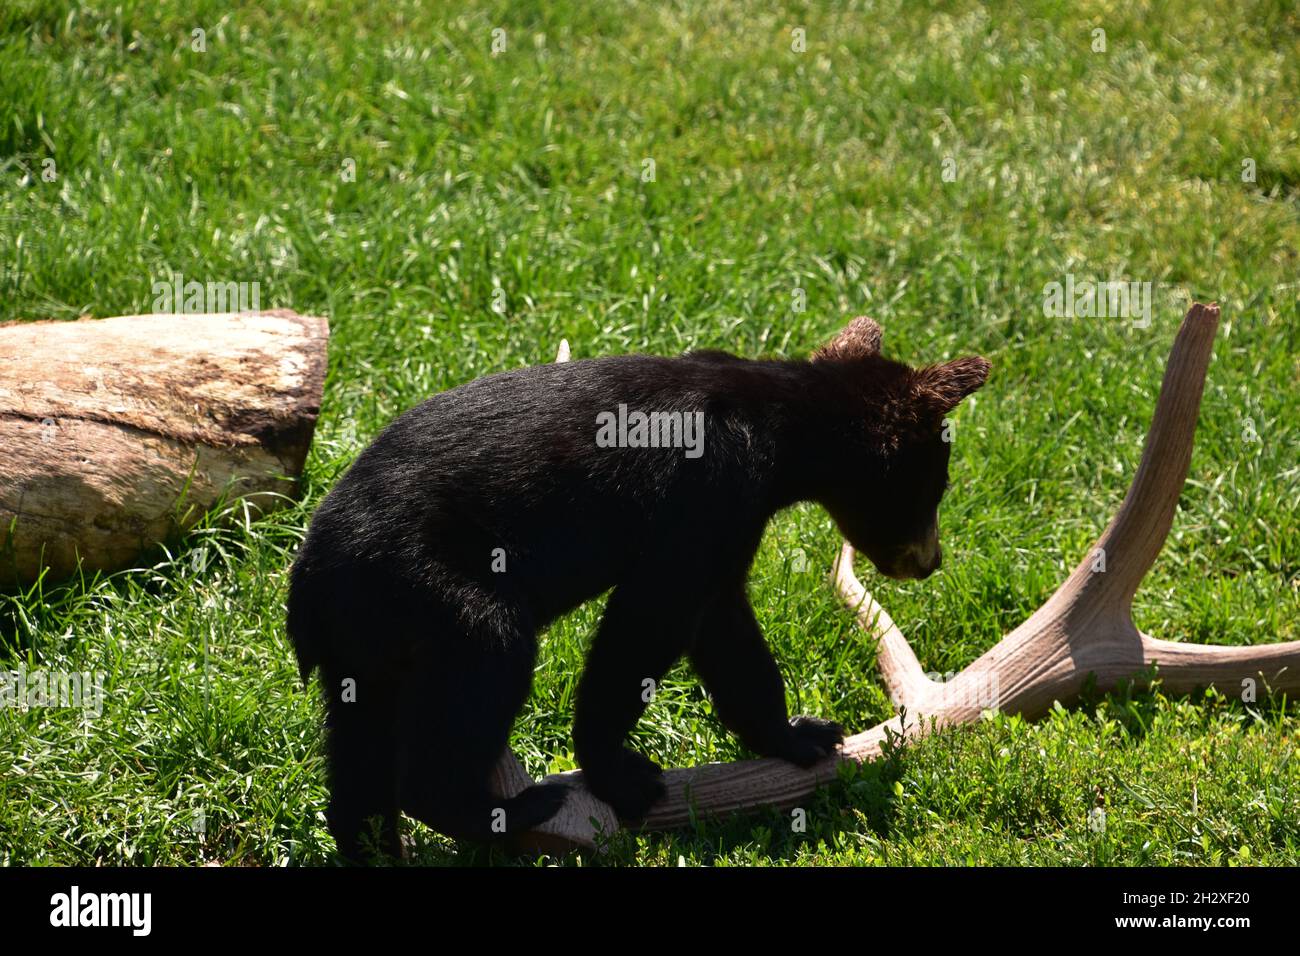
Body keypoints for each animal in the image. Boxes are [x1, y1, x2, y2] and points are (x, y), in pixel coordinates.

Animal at [287, 316, 989, 861]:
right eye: (939, 485)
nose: (931, 562)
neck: (782, 429)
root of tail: (304, 594)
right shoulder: (708, 491)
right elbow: (653, 617)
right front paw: (622, 775)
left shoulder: (729, 520)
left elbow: (725, 625)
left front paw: (803, 734)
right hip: (432, 588)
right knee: (483, 663)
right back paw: (505, 807)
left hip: (364, 644)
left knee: (358, 751)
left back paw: (374, 846)